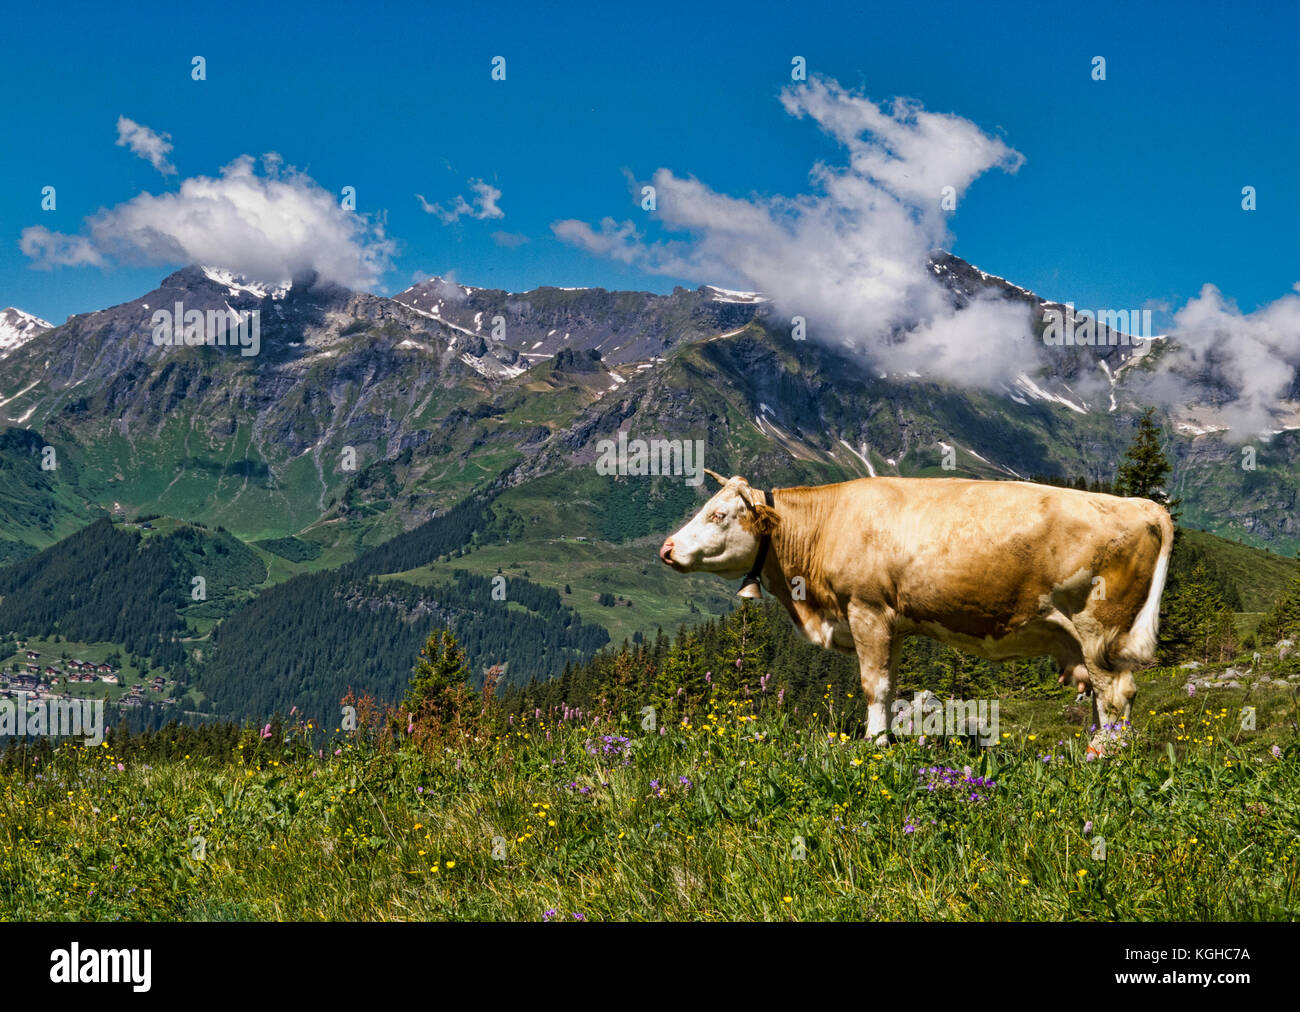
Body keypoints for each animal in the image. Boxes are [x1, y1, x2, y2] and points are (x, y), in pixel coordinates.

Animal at [659, 471, 1174, 753]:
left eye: (719, 515)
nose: (666, 548)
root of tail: (1143, 505)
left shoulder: (866, 610)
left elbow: (874, 685)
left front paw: (874, 745)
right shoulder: (893, 623)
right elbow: (890, 685)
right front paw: (884, 738)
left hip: (1099, 627)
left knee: (1116, 693)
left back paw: (1102, 756)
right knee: (1105, 697)